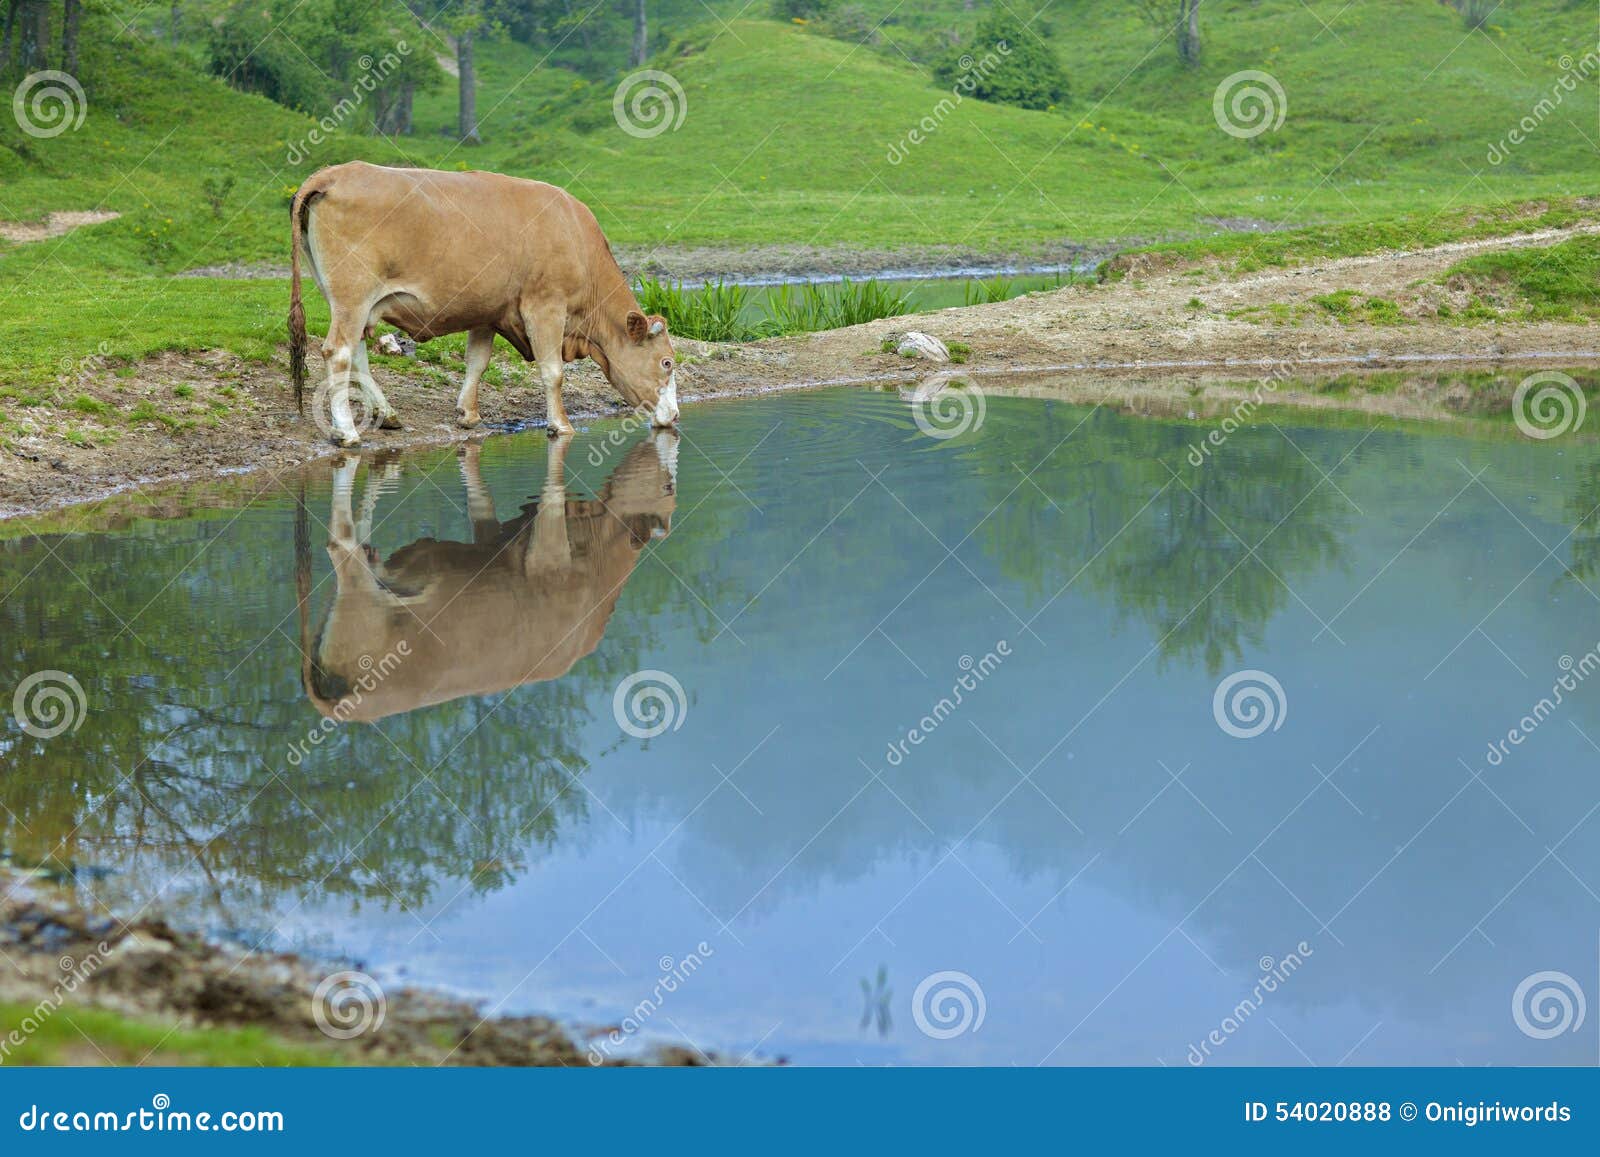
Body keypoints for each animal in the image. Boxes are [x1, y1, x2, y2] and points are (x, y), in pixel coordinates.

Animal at [287, 161, 680, 446]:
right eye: (667, 363)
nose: (676, 416)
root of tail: (335, 172)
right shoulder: (545, 306)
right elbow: (553, 372)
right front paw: (561, 425)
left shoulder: (488, 311)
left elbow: (477, 362)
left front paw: (468, 413)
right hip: (353, 294)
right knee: (338, 351)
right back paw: (346, 431)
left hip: (350, 300)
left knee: (356, 351)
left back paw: (388, 415)